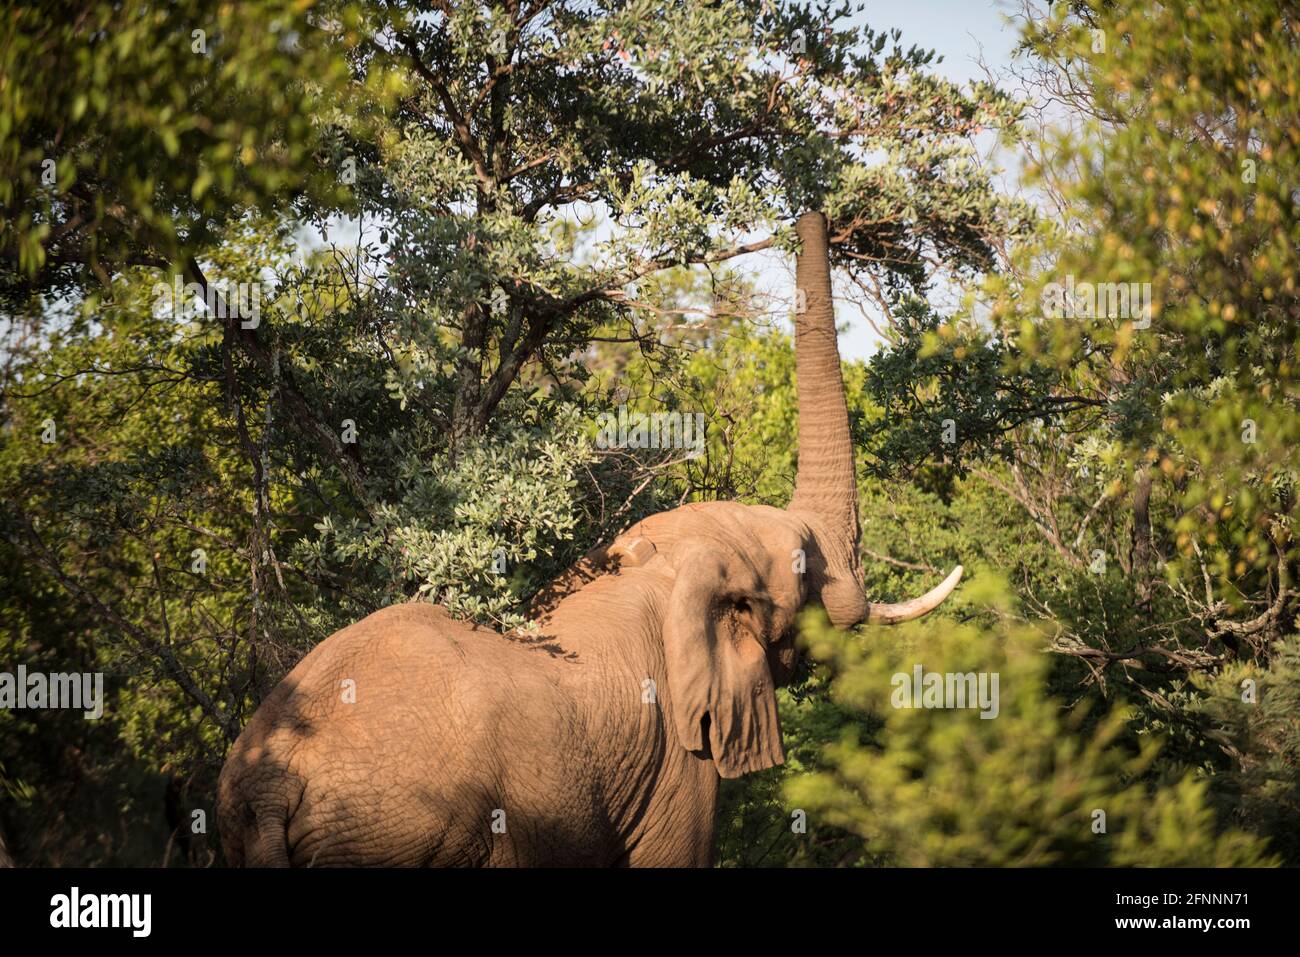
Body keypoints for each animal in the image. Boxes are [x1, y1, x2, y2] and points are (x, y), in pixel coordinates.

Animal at [216, 211, 962, 867]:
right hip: (394, 831)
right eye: (804, 570)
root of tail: (266, 788)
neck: (661, 565)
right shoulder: (675, 760)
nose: (810, 210)